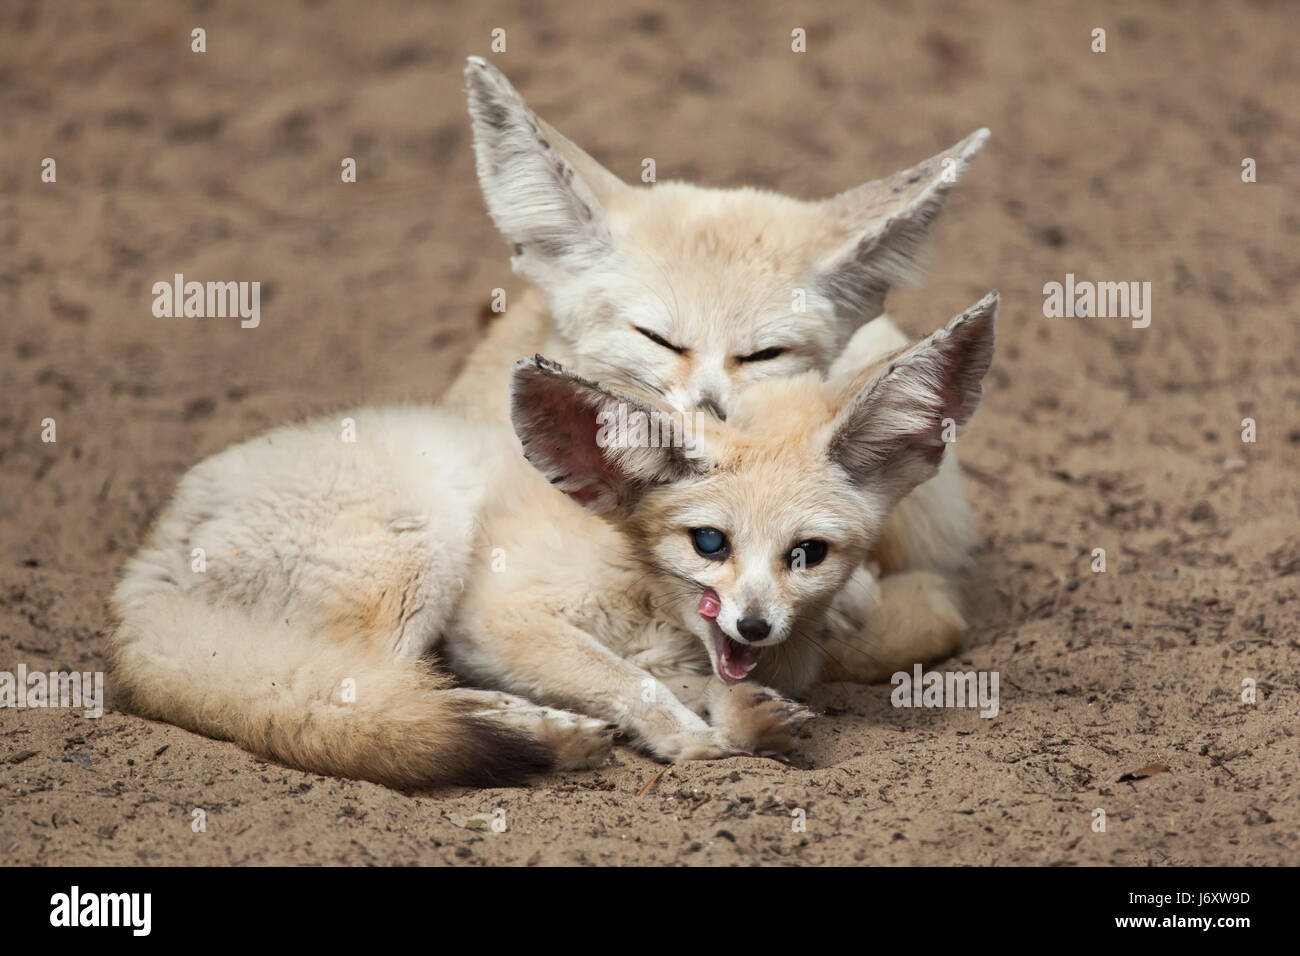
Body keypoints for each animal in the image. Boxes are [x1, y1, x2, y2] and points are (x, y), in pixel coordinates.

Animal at [109, 293, 997, 788]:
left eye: (806, 555)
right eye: (709, 542)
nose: (753, 626)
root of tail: (140, 571)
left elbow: (685, 681)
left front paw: (739, 713)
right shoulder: (497, 617)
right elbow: (632, 685)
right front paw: (696, 739)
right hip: (425, 545)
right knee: (372, 692)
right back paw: (542, 737)